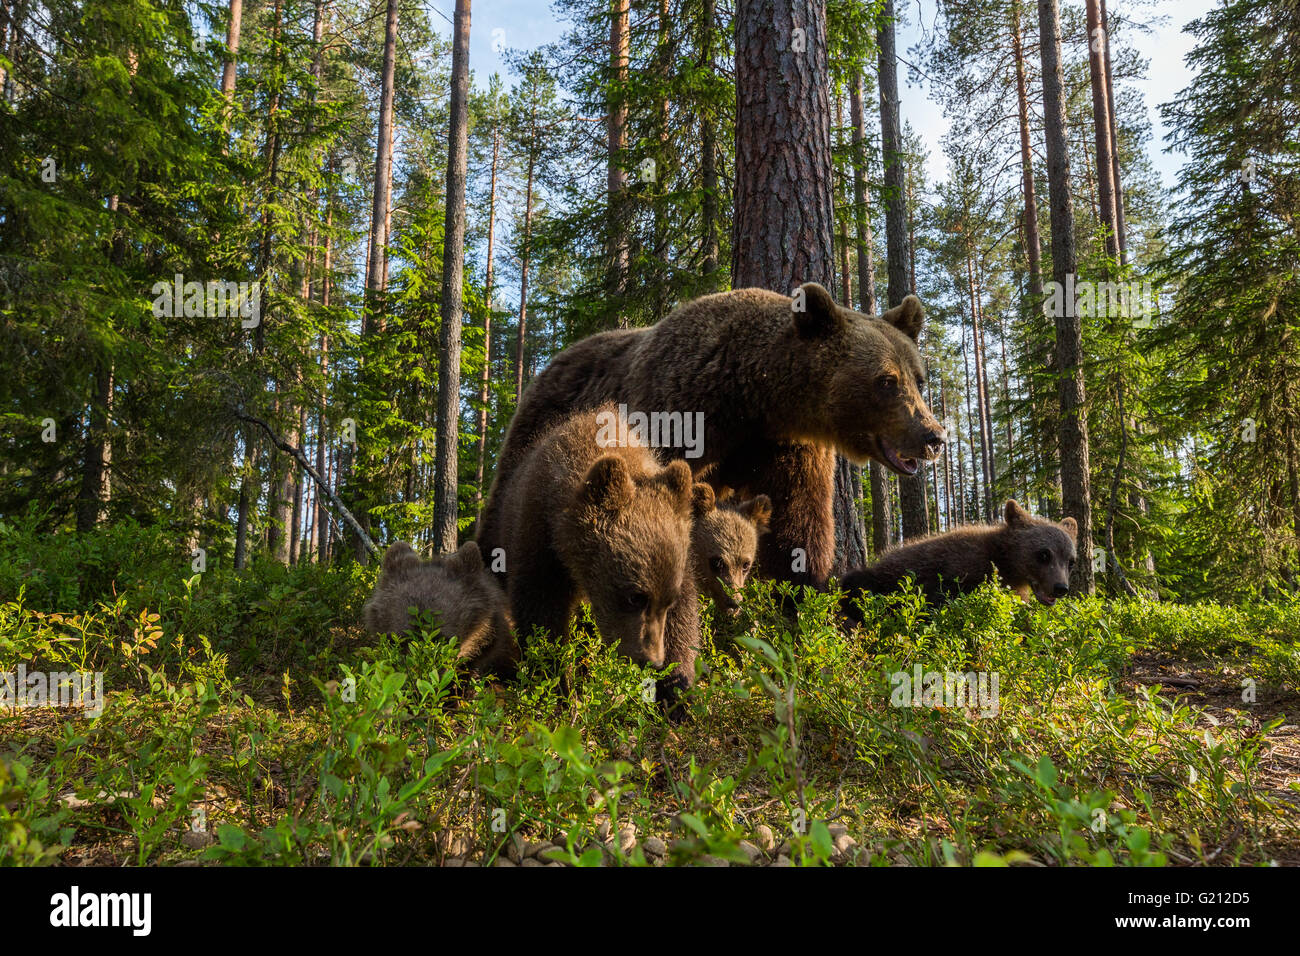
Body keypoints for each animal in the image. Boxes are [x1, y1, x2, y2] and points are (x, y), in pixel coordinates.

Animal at [477, 282, 944, 596]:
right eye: (886, 380)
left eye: (919, 379)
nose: (934, 435)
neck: (755, 399)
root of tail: (548, 364)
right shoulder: (678, 414)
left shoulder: (786, 448)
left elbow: (796, 528)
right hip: (537, 432)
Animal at [492, 404, 699, 706]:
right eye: (635, 597)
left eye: (667, 601)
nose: (651, 660)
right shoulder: (541, 540)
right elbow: (542, 616)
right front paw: (558, 689)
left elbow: (683, 622)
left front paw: (675, 691)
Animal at [838, 500, 1078, 624]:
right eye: (1044, 554)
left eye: (1070, 561)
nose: (1060, 588)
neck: (1004, 563)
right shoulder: (956, 572)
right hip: (879, 581)